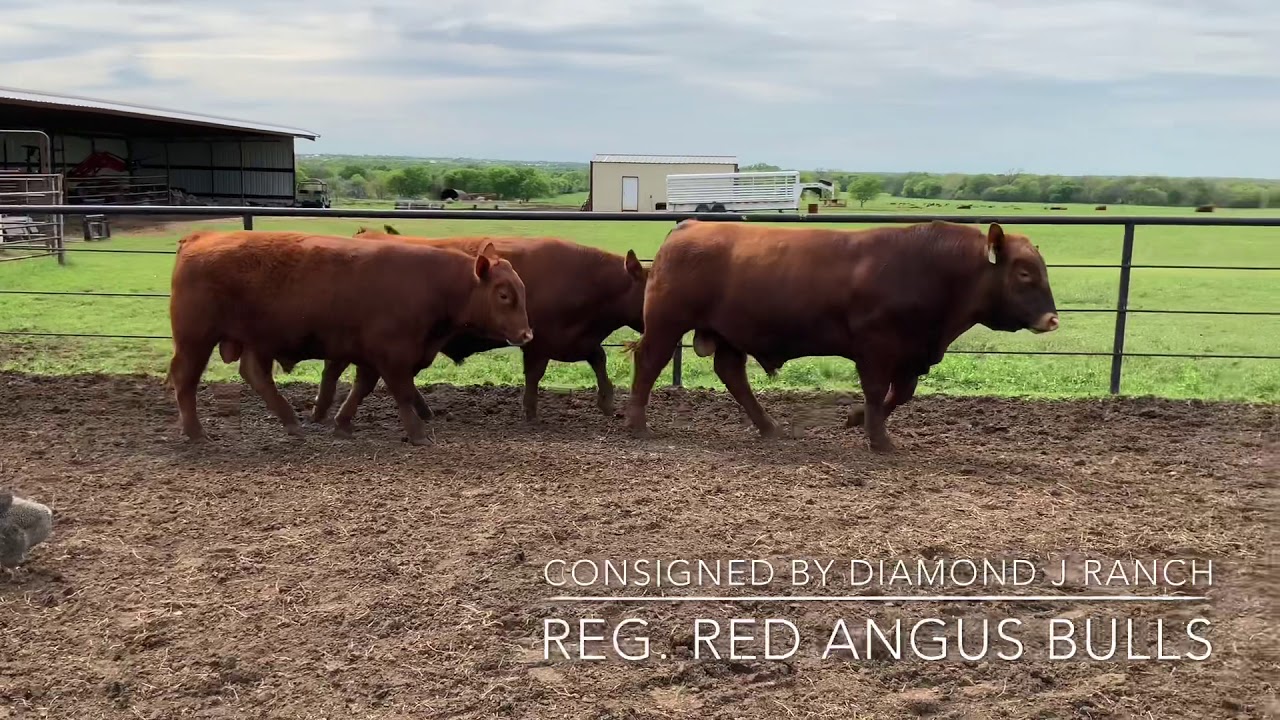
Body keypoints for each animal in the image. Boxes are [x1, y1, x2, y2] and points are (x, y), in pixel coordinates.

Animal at [166, 230, 532, 444]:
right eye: (503, 295)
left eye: (521, 289)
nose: (526, 334)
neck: (432, 284)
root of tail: (200, 238)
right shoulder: (392, 354)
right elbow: (401, 392)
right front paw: (417, 433)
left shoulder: (373, 355)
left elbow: (363, 388)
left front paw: (342, 423)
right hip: (195, 339)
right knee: (186, 380)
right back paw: (196, 433)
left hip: (257, 340)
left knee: (256, 375)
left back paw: (291, 423)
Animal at [302, 224, 647, 427]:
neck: (583, 278)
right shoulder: (540, 341)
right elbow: (536, 374)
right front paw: (530, 412)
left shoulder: (573, 340)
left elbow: (598, 358)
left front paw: (606, 402)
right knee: (337, 368)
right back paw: (322, 411)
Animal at [623, 219, 1059, 452]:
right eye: (1024, 273)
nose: (1052, 319)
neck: (931, 268)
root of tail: (689, 226)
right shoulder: (876, 347)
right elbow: (877, 390)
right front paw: (878, 439)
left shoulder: (911, 353)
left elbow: (900, 394)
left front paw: (856, 420)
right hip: (666, 323)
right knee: (649, 362)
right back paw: (637, 423)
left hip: (729, 333)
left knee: (731, 373)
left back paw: (769, 427)